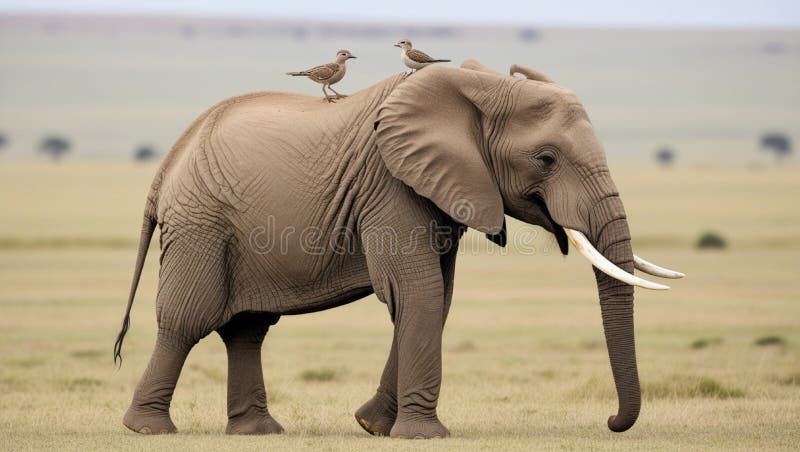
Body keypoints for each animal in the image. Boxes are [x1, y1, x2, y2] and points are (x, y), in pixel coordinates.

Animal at [113, 59, 683, 438]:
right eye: (546, 159)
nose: (611, 422)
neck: (478, 88)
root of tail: (168, 163)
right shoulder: (390, 183)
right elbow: (418, 291)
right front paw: (425, 436)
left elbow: (436, 297)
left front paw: (371, 426)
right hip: (201, 224)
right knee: (187, 320)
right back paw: (148, 429)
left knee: (246, 328)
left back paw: (258, 432)